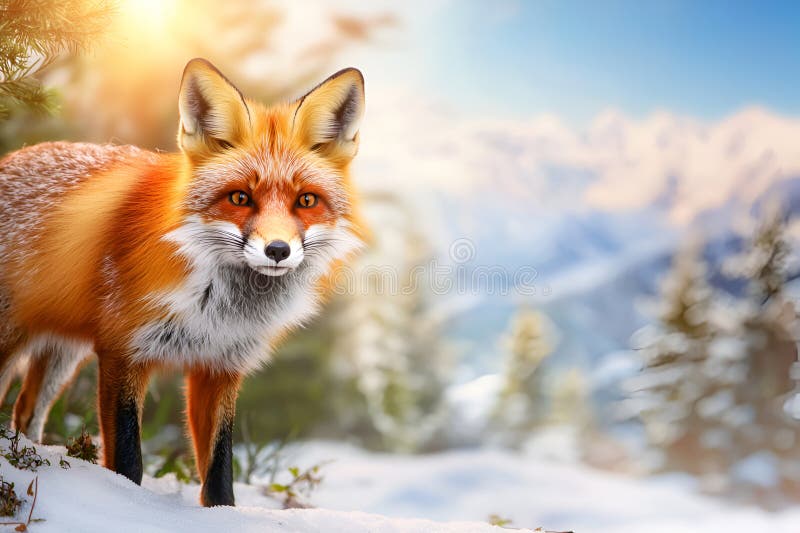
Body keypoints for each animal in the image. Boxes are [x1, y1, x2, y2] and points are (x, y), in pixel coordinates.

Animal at [0, 58, 365, 506]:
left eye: (307, 201)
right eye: (240, 198)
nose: (278, 250)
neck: (215, 305)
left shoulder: (221, 364)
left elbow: (219, 468)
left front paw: (220, 514)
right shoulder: (124, 350)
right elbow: (128, 458)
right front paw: (127, 502)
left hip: (63, 352)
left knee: (26, 413)